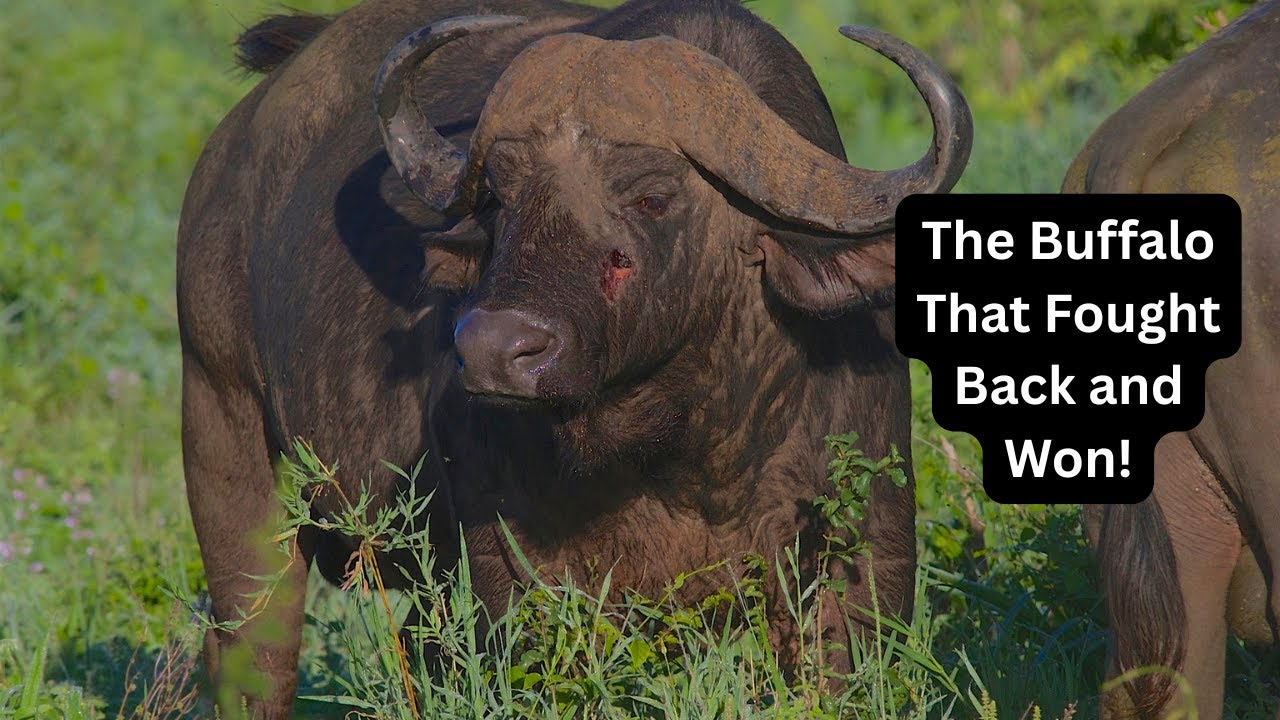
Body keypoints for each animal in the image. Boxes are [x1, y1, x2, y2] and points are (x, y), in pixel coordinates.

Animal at [177, 0, 972, 714]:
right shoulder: (510, 570)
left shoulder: (863, 556)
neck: (685, 454)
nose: (495, 350)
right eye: (500, 196)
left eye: (653, 197)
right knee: (257, 649)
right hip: (222, 428)